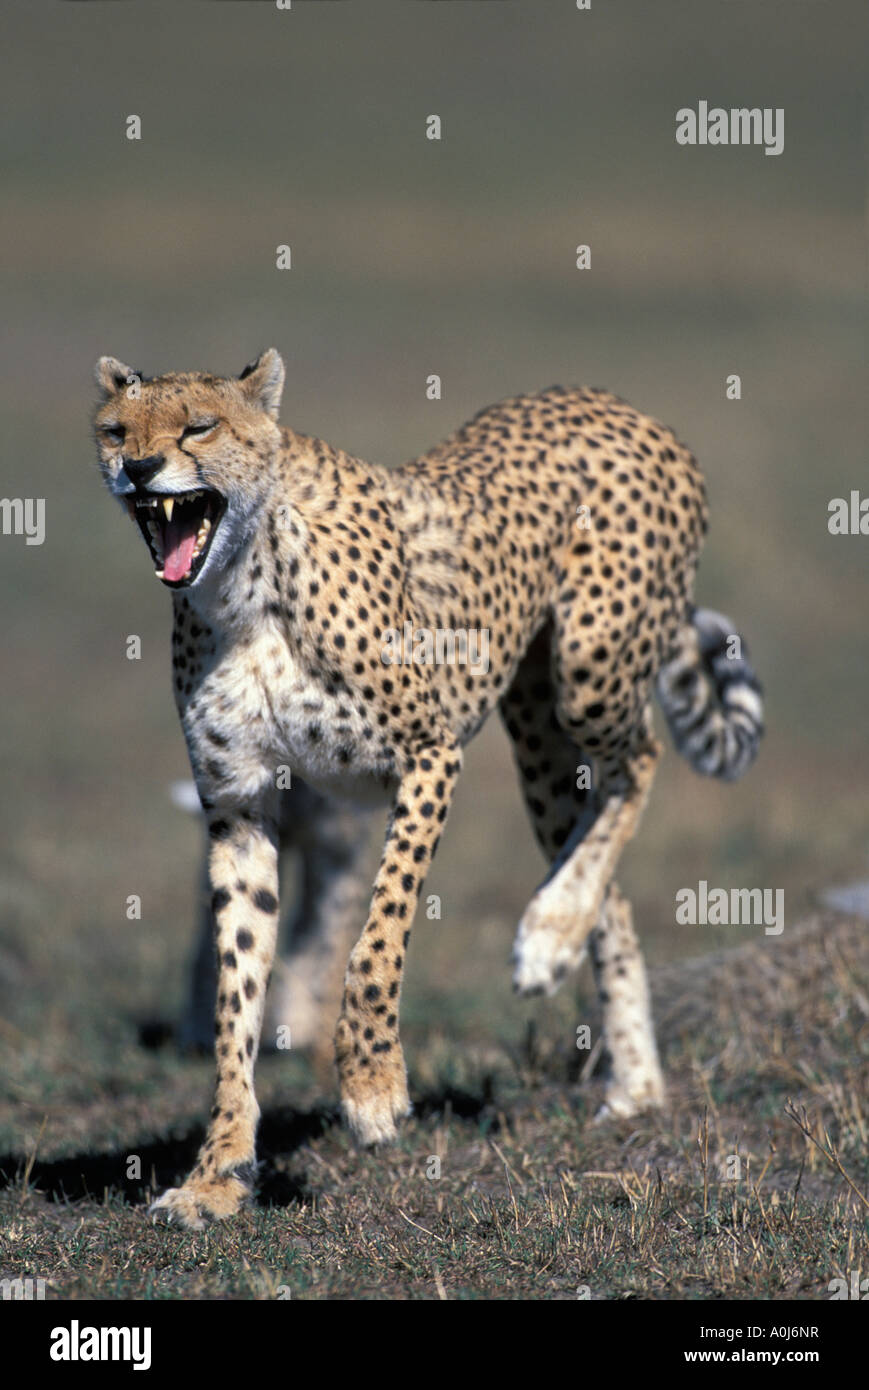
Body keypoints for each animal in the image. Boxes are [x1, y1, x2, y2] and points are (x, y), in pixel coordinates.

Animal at [93, 348, 763, 1229]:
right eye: (115, 429)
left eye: (197, 426)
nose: (138, 469)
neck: (242, 584)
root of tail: (607, 399)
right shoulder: (239, 810)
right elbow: (236, 998)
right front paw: (217, 1174)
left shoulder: (427, 756)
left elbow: (377, 937)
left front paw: (373, 1088)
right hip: (540, 738)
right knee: (607, 883)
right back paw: (632, 1077)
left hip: (589, 672)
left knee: (641, 760)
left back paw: (550, 930)